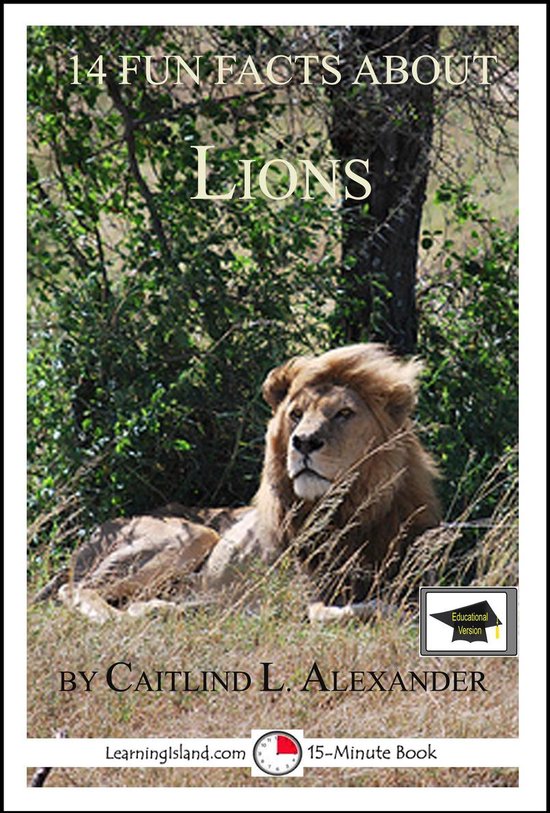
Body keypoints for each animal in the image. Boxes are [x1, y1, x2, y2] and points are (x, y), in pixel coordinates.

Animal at [41, 343, 440, 622]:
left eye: (344, 413)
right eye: (296, 415)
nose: (303, 442)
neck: (346, 509)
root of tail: (95, 531)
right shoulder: (302, 596)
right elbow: (344, 612)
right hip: (190, 535)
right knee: (76, 589)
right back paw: (129, 614)